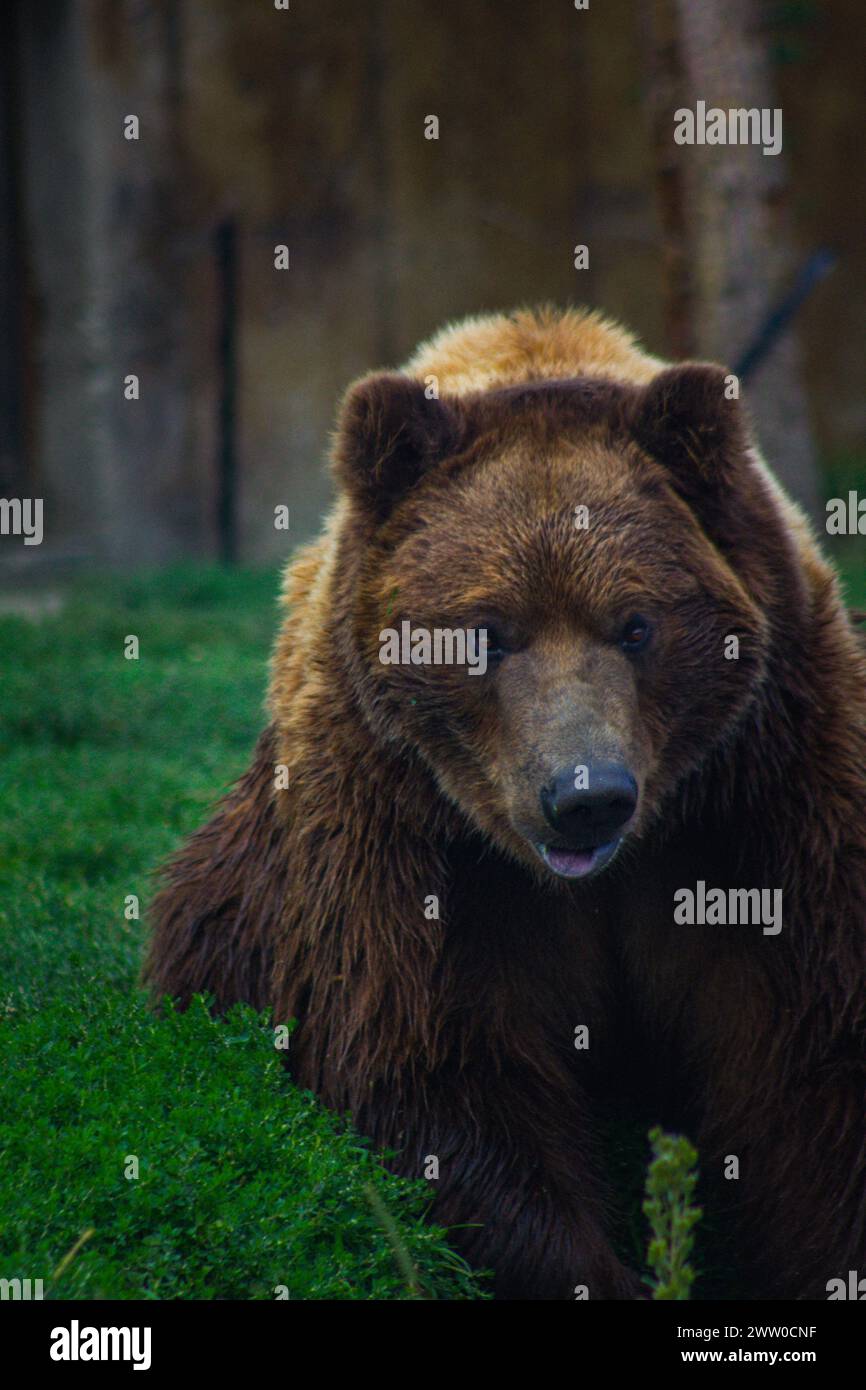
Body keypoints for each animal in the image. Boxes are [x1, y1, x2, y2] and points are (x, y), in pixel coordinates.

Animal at [146, 305, 866, 1300]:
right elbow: (435, 1063)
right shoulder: (403, 829)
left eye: (636, 624)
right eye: (489, 633)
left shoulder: (768, 789)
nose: (587, 797)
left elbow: (811, 1055)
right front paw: (600, 1272)